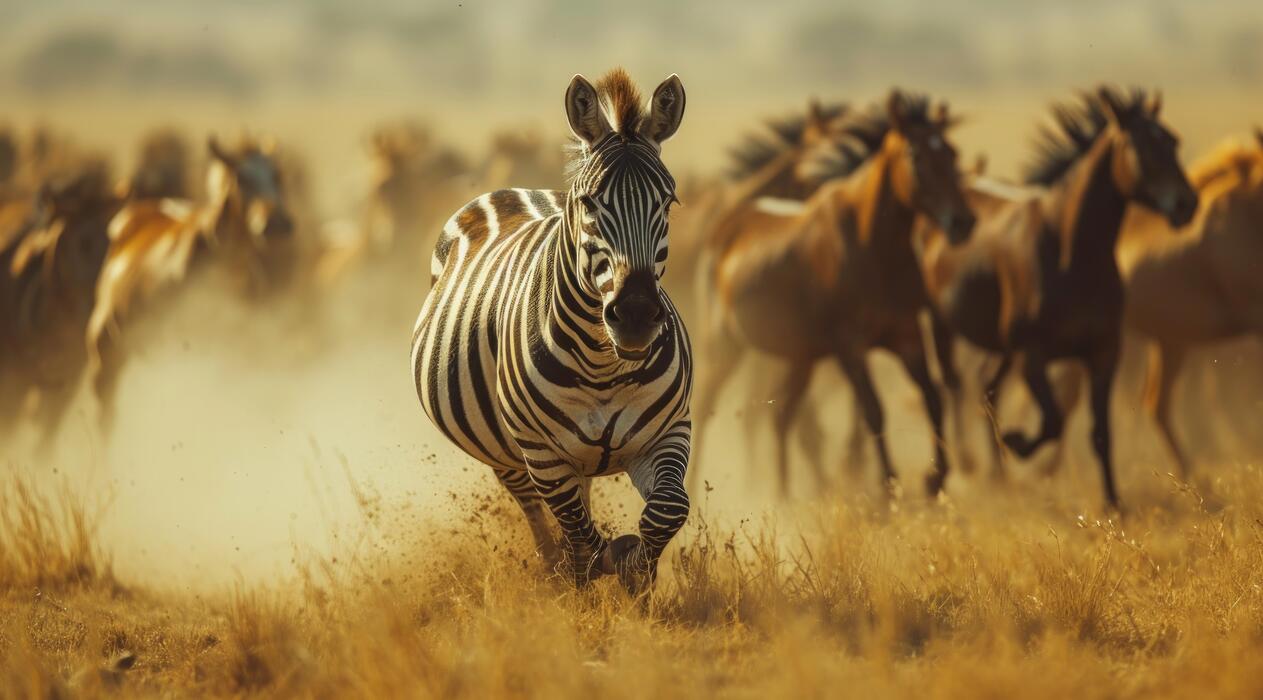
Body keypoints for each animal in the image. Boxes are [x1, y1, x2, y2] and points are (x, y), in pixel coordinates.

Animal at [411, 68, 690, 593]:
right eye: (590, 203)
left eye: (668, 202)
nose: (637, 314)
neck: (604, 365)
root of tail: (507, 190)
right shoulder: (543, 456)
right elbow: (580, 534)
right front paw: (603, 566)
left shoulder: (668, 434)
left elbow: (667, 510)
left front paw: (639, 574)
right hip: (510, 456)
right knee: (540, 516)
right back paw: (556, 569)